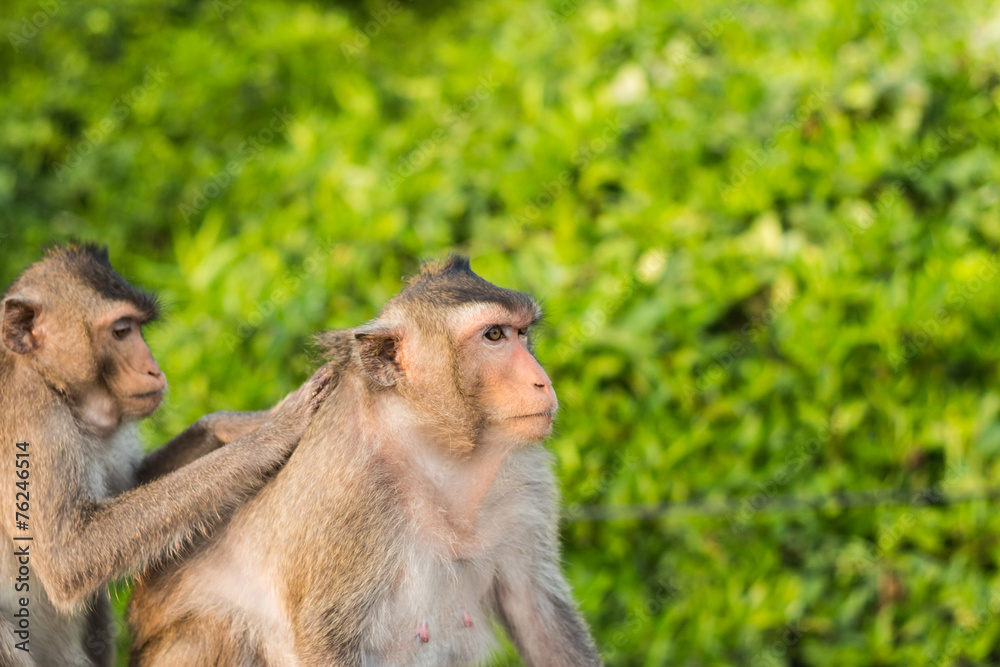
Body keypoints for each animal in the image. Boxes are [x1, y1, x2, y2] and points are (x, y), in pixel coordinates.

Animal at [0, 244, 332, 667]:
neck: (52, 382)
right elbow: (69, 556)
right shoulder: (31, 417)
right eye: (121, 331)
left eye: (138, 329)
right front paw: (272, 434)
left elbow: (131, 485)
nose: (154, 371)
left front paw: (237, 423)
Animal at [128, 255, 602, 667]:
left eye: (522, 333)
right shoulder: (345, 496)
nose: (542, 381)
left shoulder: (523, 478)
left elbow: (536, 610)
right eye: (494, 336)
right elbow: (326, 635)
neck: (432, 450)